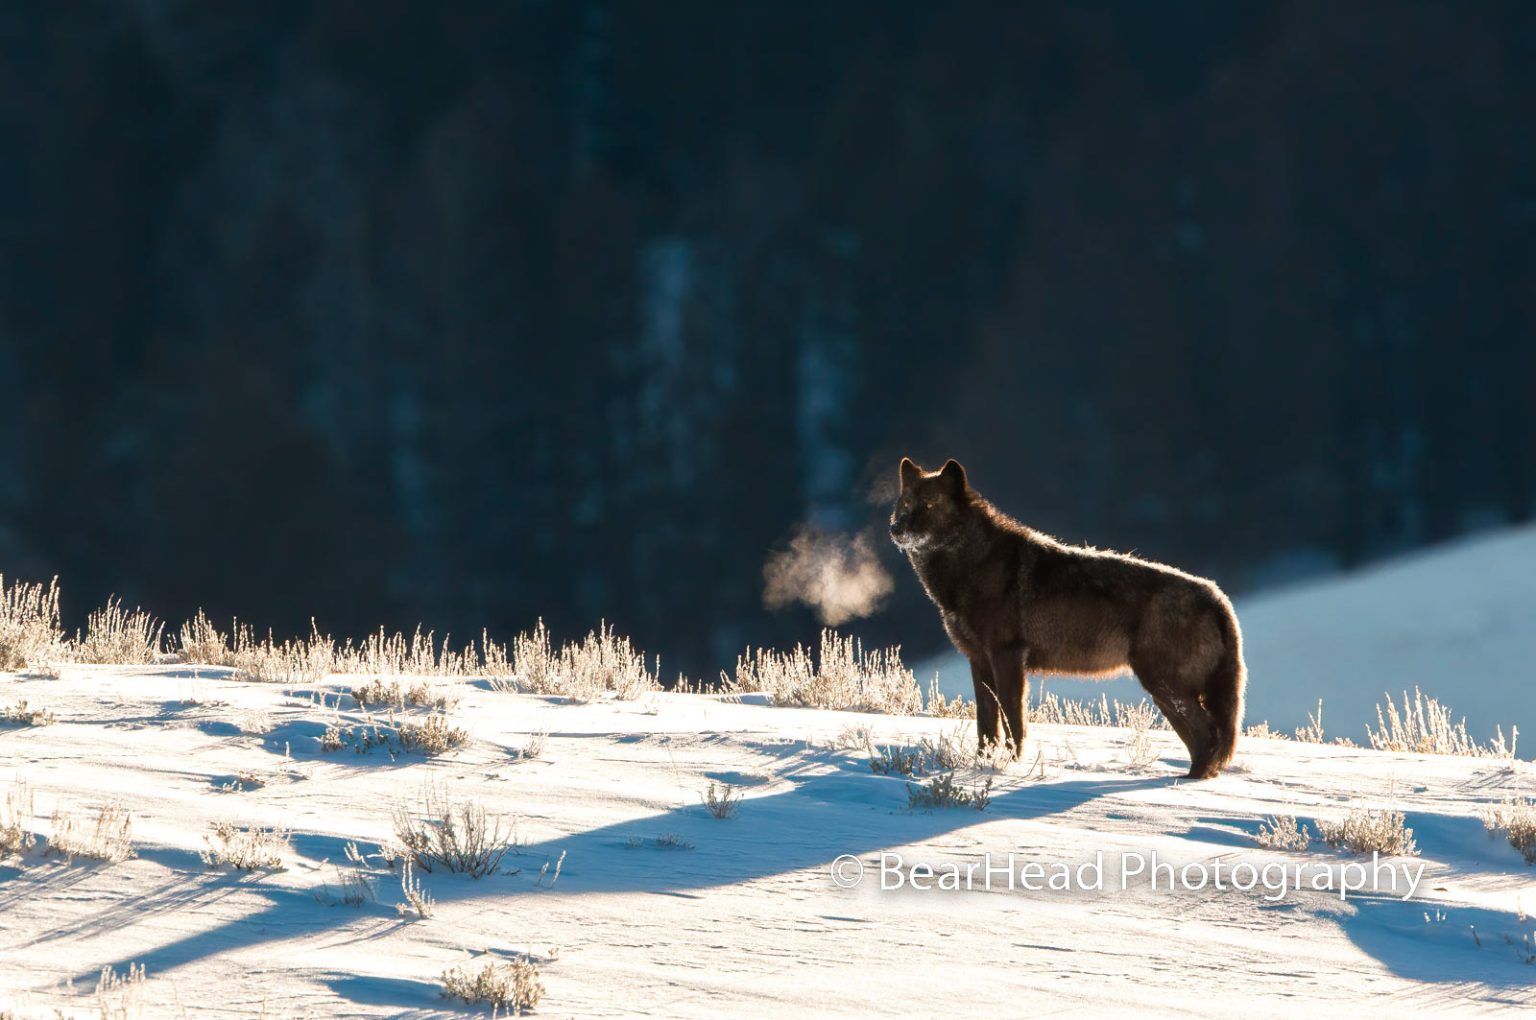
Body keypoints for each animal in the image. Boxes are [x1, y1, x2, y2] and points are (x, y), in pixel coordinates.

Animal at [890, 458, 1245, 779]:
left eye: (930, 504)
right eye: (905, 504)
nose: (895, 528)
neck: (972, 565)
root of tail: (1218, 598)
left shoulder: (1007, 657)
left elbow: (1013, 719)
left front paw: (1011, 765)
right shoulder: (978, 661)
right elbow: (986, 722)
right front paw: (983, 763)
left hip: (1165, 686)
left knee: (1209, 735)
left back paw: (1190, 781)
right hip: (1165, 693)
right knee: (1204, 738)